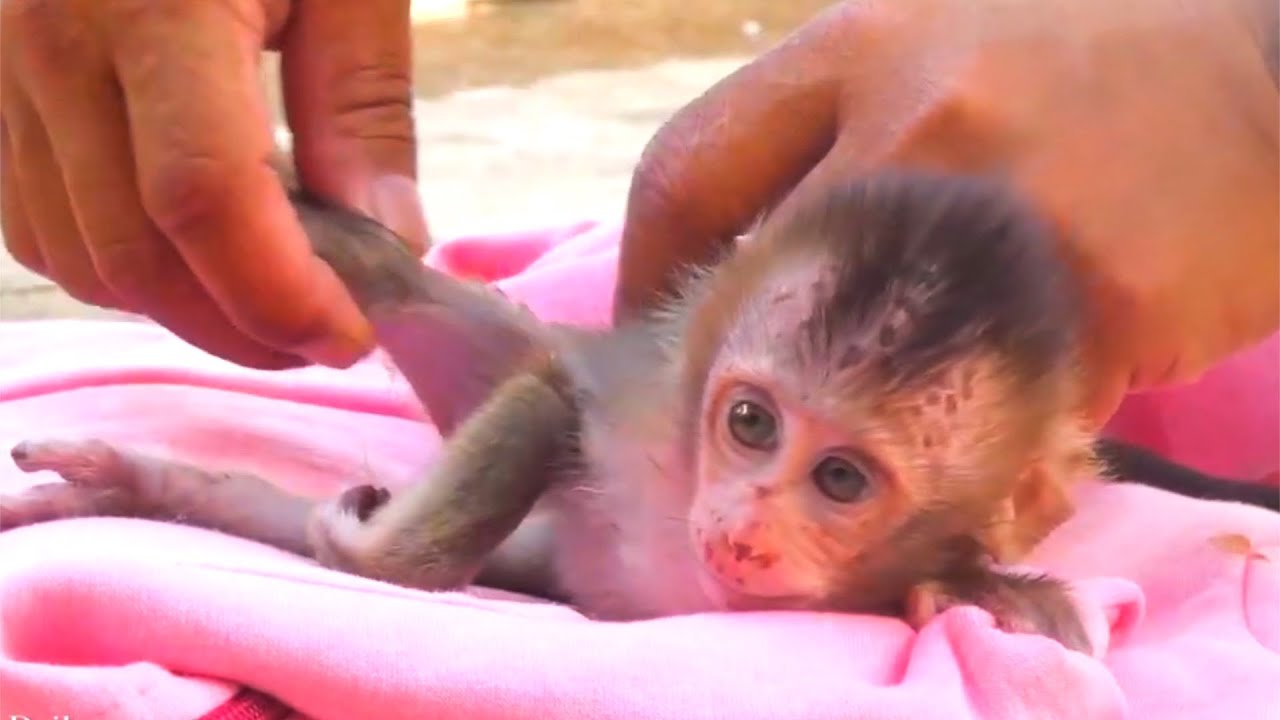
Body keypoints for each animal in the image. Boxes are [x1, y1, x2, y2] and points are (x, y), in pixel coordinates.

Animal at [2, 171, 1275, 657]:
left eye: (842, 481)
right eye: (750, 424)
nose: (744, 527)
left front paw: (970, 603)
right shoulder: (641, 402)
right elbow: (542, 396)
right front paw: (385, 548)